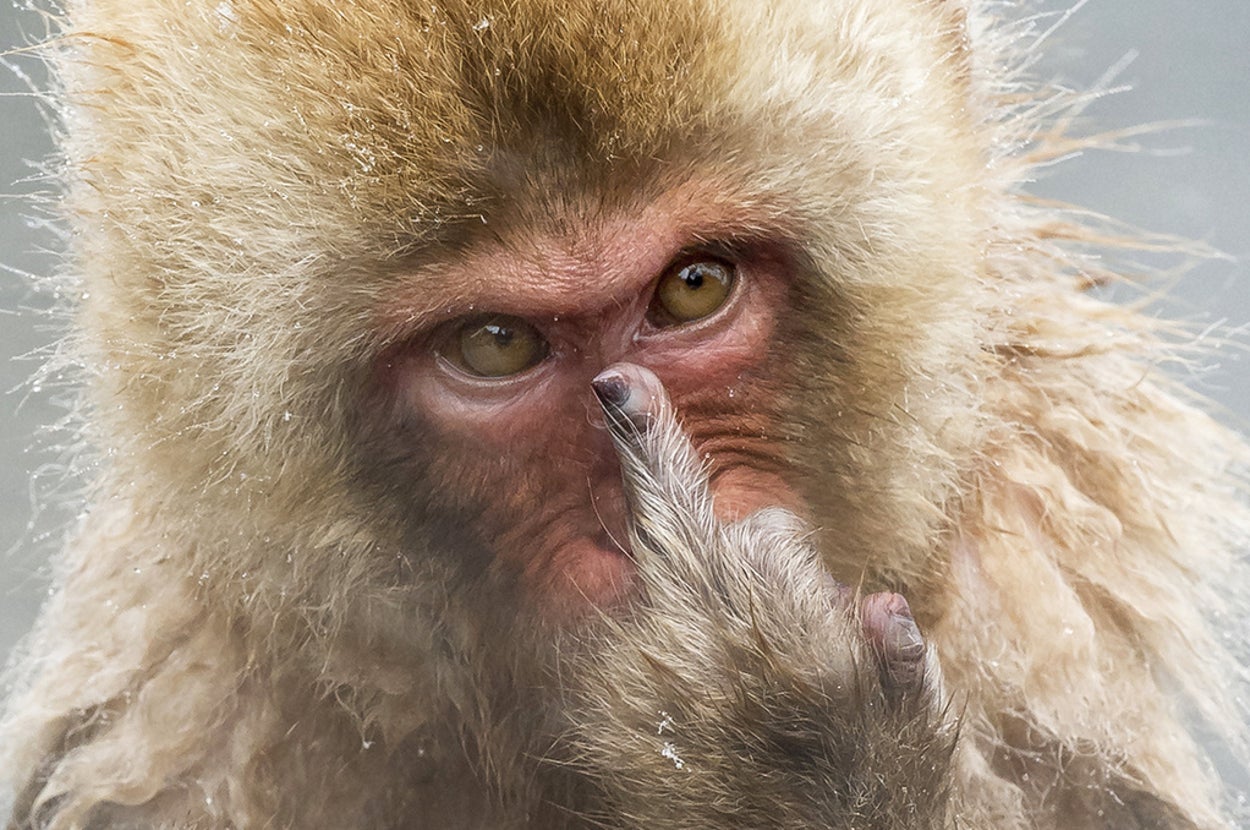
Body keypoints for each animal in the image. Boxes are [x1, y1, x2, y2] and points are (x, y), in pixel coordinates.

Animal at [1, 0, 1247, 828]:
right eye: (494, 345)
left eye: (692, 286)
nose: (629, 532)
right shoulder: (177, 731)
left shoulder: (1034, 603)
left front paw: (780, 736)